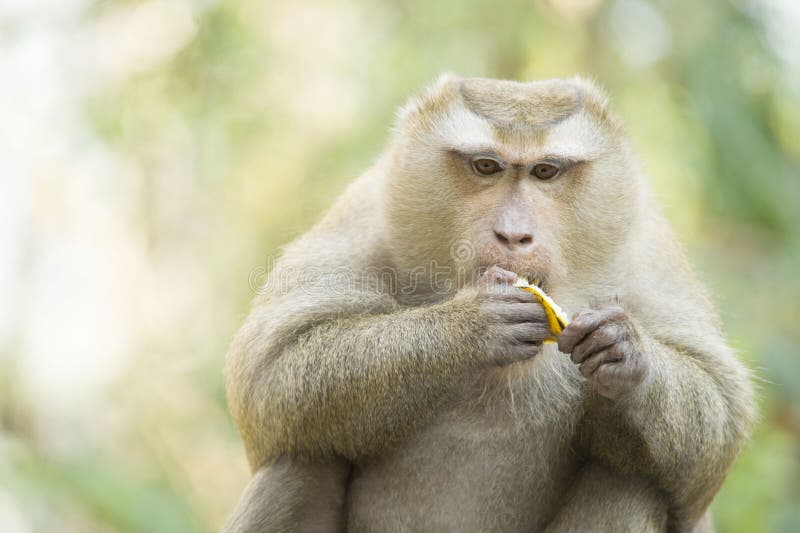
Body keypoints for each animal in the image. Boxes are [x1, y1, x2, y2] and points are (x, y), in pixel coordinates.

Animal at [223, 75, 754, 532]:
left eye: (545, 171)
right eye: (486, 167)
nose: (513, 234)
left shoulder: (647, 243)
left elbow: (716, 432)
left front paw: (622, 353)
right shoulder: (366, 214)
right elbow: (271, 372)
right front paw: (471, 325)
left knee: (634, 478)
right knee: (302, 460)